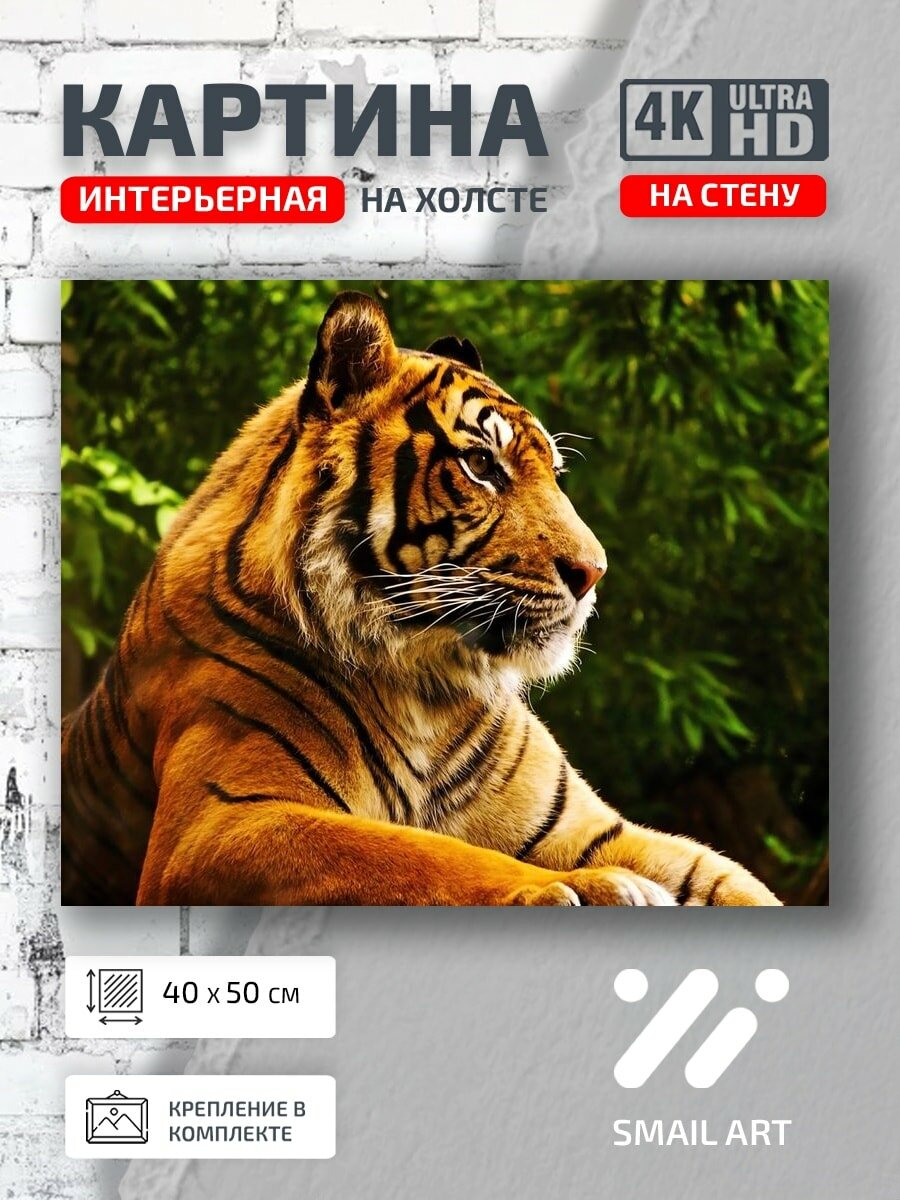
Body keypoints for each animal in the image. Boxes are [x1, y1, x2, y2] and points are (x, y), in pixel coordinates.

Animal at [62, 291, 781, 907]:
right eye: (481, 466)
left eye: (554, 472)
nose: (594, 572)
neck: (426, 687)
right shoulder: (217, 822)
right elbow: (417, 854)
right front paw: (579, 887)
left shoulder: (590, 829)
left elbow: (733, 879)